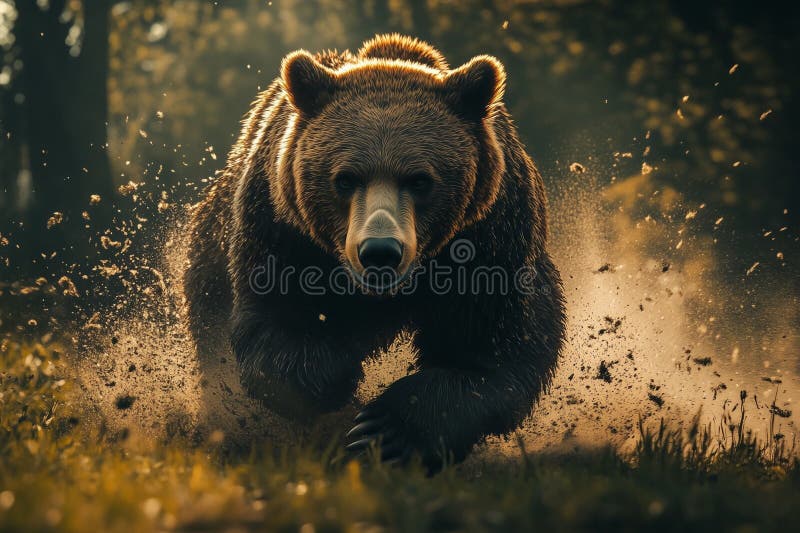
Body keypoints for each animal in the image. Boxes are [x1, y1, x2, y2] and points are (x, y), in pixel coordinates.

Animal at [184, 34, 566, 470]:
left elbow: (491, 348)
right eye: (345, 178)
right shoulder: (282, 230)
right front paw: (339, 373)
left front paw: (385, 430)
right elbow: (279, 329)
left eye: (420, 180)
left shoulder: (491, 237)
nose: (380, 251)